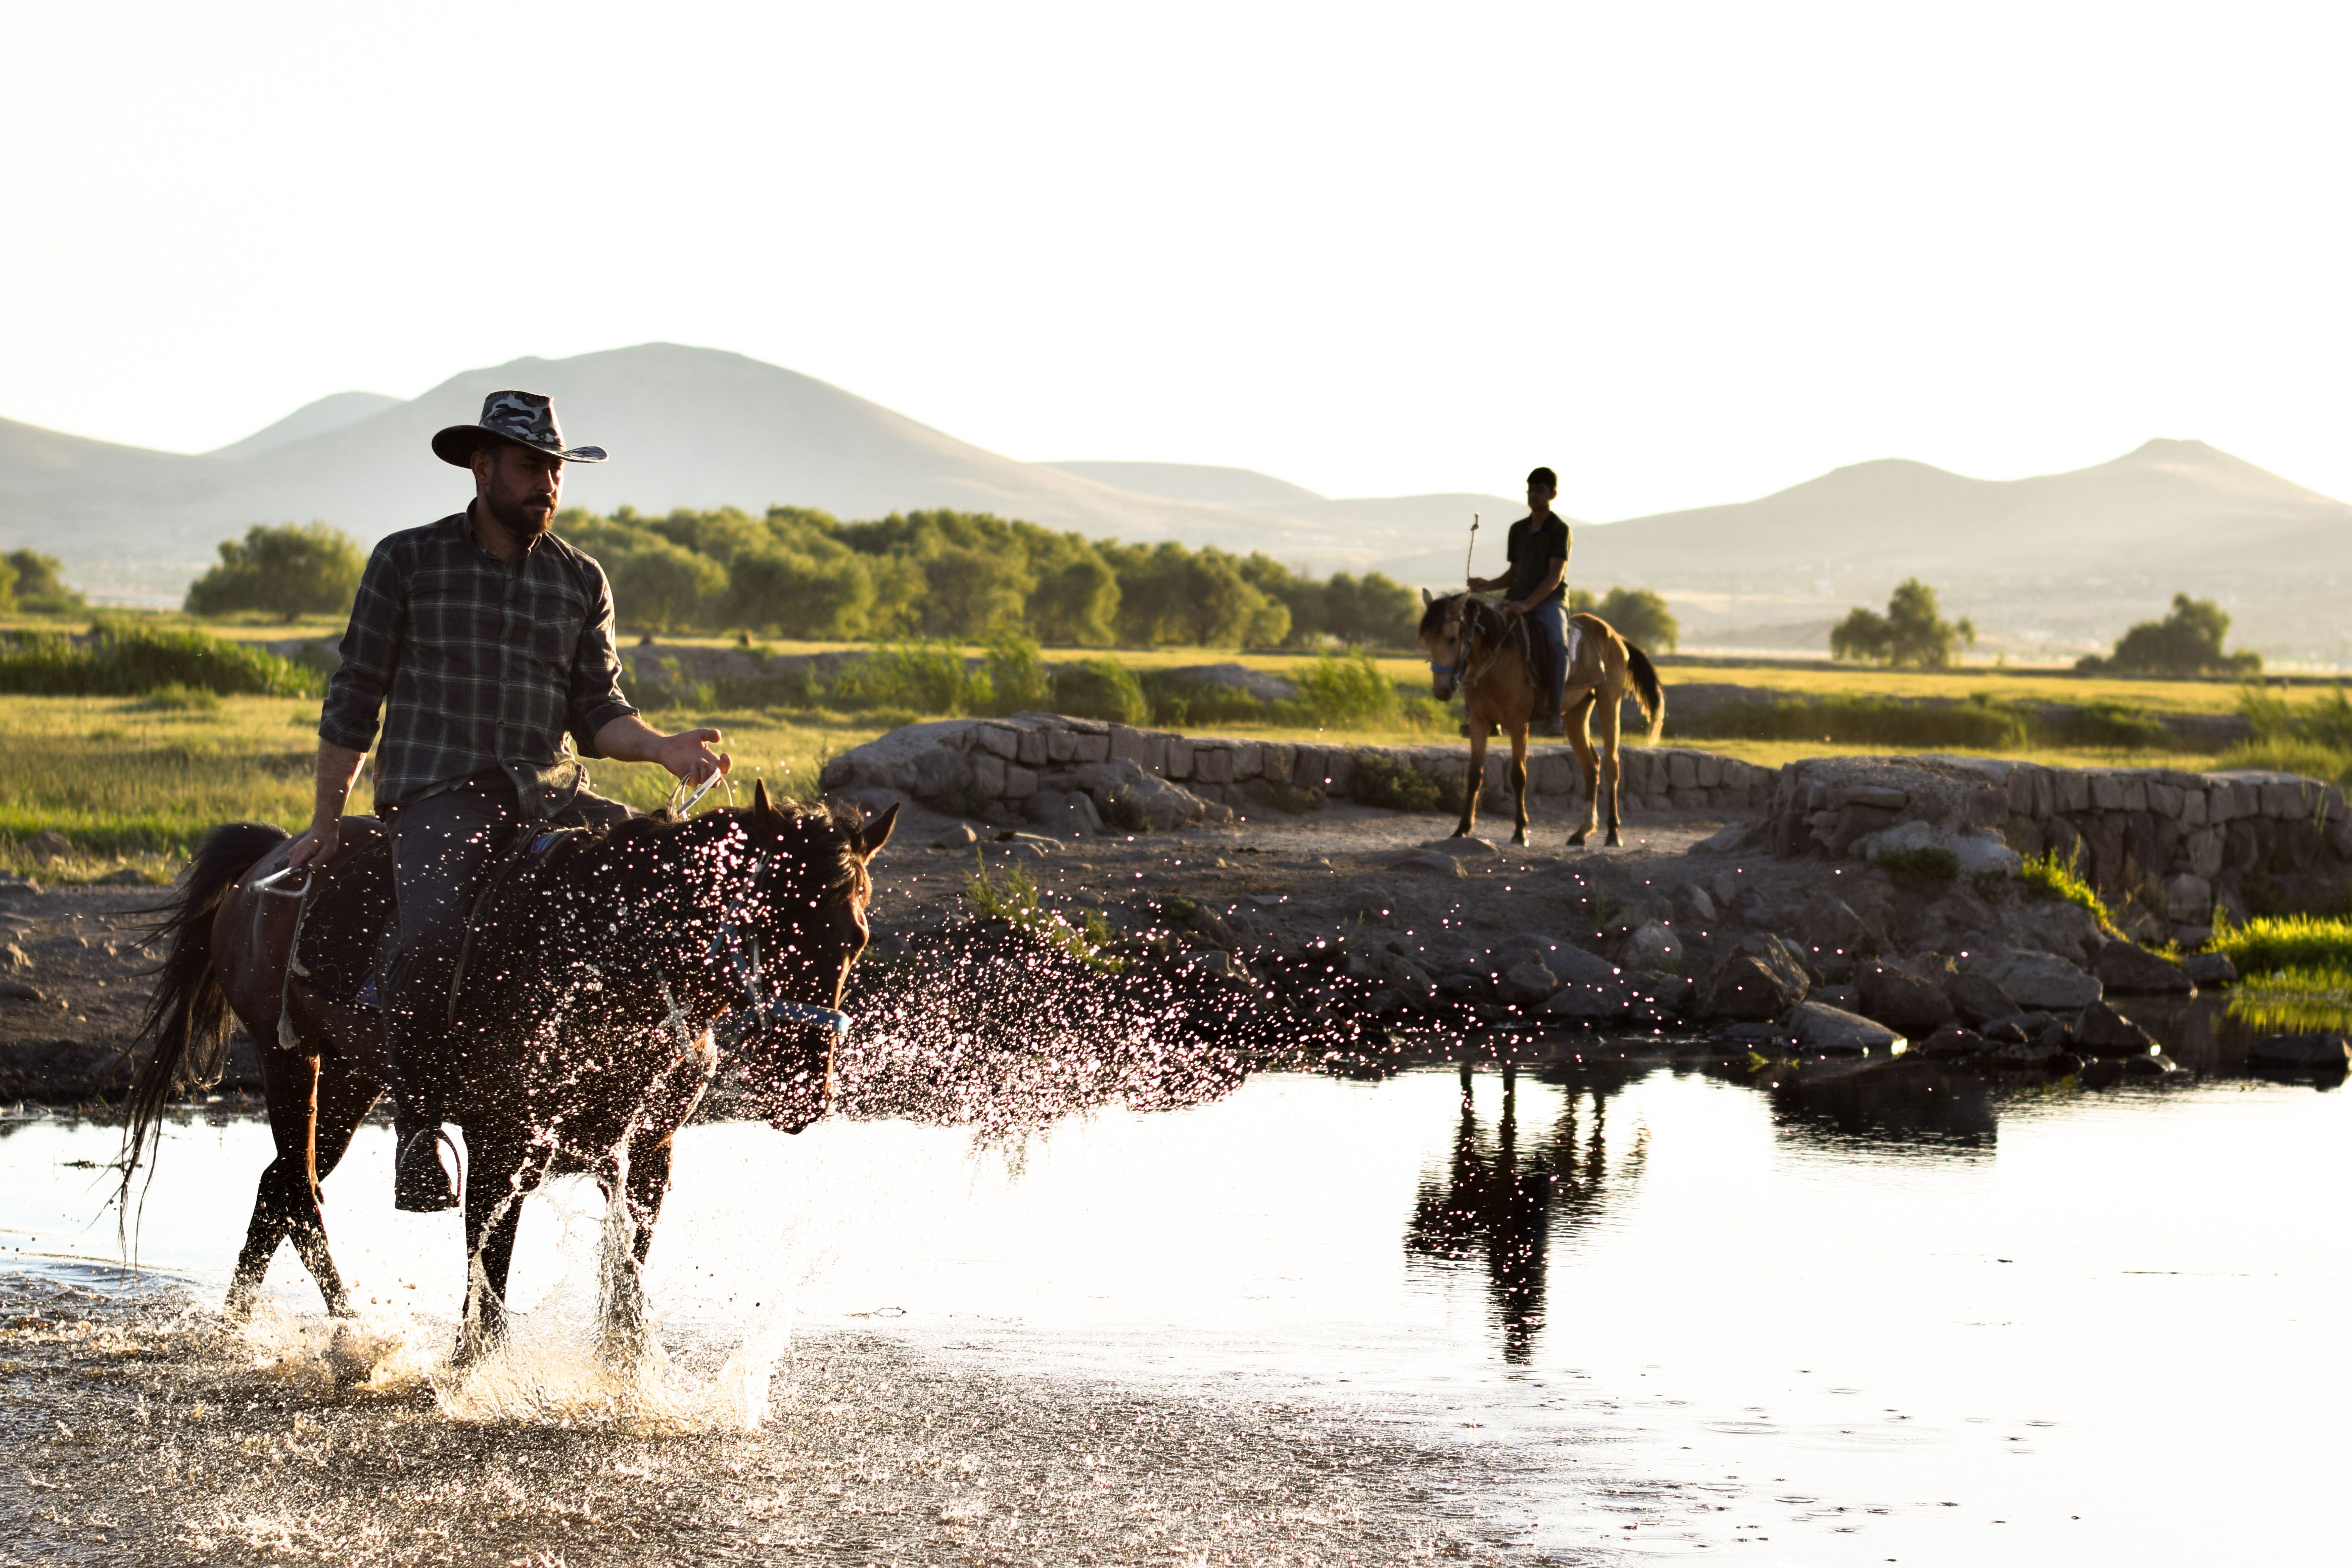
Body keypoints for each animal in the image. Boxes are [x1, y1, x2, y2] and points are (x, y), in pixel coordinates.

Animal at [118, 782, 895, 1361]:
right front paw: (472, 1379)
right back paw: (354, 1335)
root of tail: (271, 859)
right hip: (289, 1059)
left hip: (350, 1077)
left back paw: (241, 1325)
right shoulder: (502, 1144)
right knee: (302, 1195)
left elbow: (627, 1289)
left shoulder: (648, 1151)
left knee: (279, 1187)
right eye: (775, 926)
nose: (806, 1090)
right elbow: (487, 1287)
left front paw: (628, 1379)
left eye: (855, 939)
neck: (608, 955)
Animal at [1418, 591, 1665, 847]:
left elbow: (1518, 775)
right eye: (1427, 640)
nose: (1441, 691)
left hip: (1609, 702)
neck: (1497, 660)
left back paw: (1613, 834)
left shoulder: (1519, 724)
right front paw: (1462, 829)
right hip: (1576, 713)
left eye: (1451, 639)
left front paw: (1520, 831)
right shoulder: (1479, 723)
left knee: (1612, 765)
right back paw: (1582, 832)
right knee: (1591, 765)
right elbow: (1475, 775)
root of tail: (1616, 637)